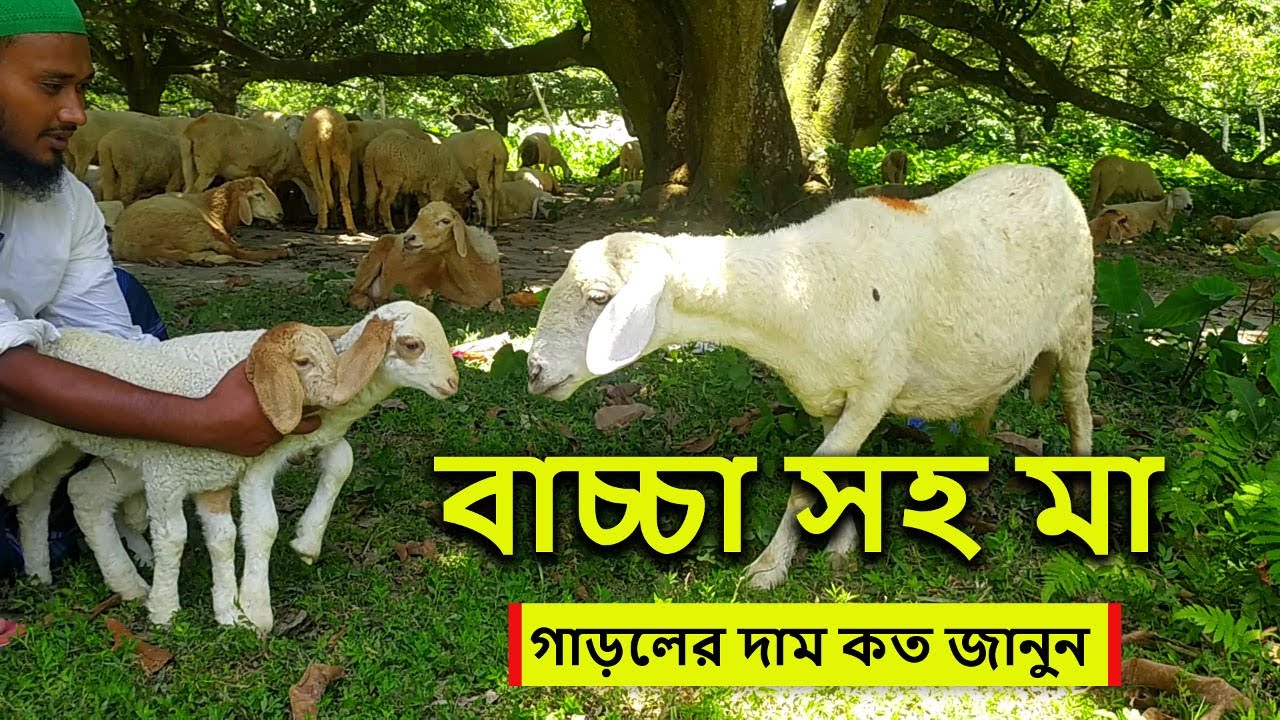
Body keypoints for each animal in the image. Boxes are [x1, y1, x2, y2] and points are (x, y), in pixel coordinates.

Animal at [6, 302, 459, 635]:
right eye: (412, 344)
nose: (454, 383)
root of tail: (55, 339)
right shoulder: (255, 459)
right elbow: (262, 526)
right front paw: (256, 609)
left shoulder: (313, 439)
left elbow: (342, 463)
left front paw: (307, 541)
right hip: (36, 439)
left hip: (94, 451)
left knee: (74, 492)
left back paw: (75, 574)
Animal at [110, 177, 289, 266]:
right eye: (259, 194)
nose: (280, 214)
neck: (211, 205)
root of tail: (145, 248)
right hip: (197, 226)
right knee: (235, 253)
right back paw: (279, 252)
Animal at [179, 112, 317, 215]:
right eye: (286, 126)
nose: (315, 211)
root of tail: (191, 129)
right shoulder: (271, 173)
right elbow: (270, 192)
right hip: (208, 165)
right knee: (194, 190)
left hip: (189, 163)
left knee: (186, 190)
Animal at [347, 202, 503, 311]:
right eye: (418, 217)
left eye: (445, 221)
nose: (408, 238)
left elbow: (497, 306)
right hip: (371, 260)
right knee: (353, 293)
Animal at [524, 163, 1096, 590]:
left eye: (599, 298)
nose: (533, 371)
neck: (801, 284)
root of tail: (1049, 175)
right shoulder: (828, 395)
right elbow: (835, 481)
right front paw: (840, 553)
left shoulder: (873, 391)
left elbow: (806, 486)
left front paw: (766, 570)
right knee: (990, 399)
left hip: (1078, 325)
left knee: (1078, 408)